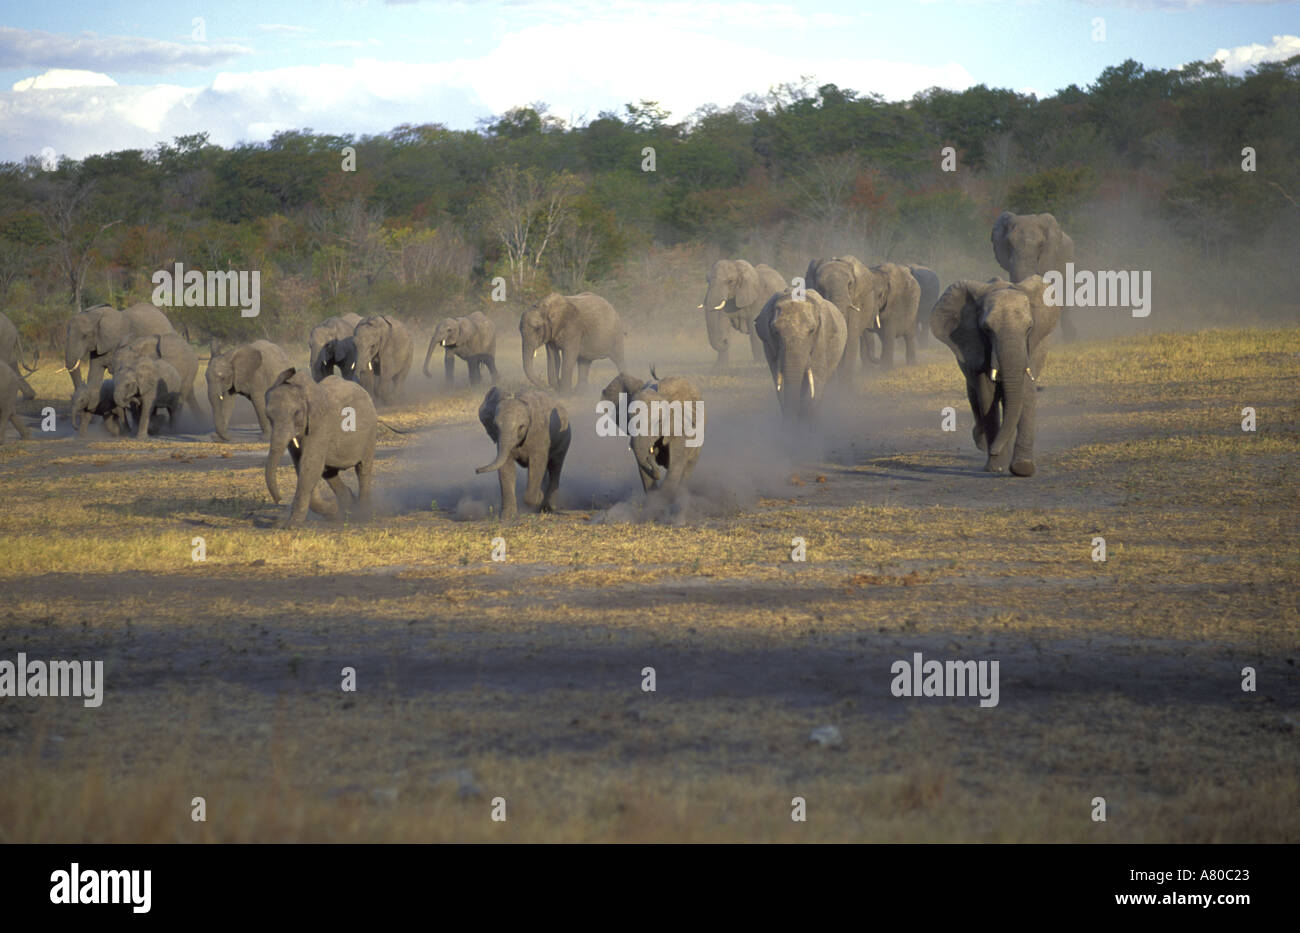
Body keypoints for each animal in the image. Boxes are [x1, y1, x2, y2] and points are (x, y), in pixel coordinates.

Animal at [264, 369, 377, 528]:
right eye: (268, 417)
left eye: (296, 413)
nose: (279, 500)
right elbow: (302, 467)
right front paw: (333, 513)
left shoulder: (321, 426)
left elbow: (310, 466)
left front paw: (290, 526)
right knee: (329, 473)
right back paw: (349, 506)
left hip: (370, 433)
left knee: (363, 469)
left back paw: (362, 513)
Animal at [476, 386, 571, 521]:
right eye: (495, 426)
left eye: (521, 427)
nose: (476, 470)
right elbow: (506, 469)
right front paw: (507, 517)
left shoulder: (540, 434)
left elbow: (537, 464)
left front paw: (539, 496)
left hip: (564, 438)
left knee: (555, 467)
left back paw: (548, 507)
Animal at [754, 287, 847, 419]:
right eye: (775, 332)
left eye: (812, 330)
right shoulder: (769, 346)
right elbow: (779, 381)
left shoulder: (821, 340)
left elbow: (817, 378)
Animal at [930, 275, 1061, 476]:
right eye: (986, 329)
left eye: (1029, 328)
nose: (993, 450)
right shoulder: (976, 345)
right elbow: (987, 395)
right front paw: (996, 467)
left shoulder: (1031, 349)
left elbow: (1026, 393)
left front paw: (1022, 468)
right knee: (974, 395)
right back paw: (982, 441)